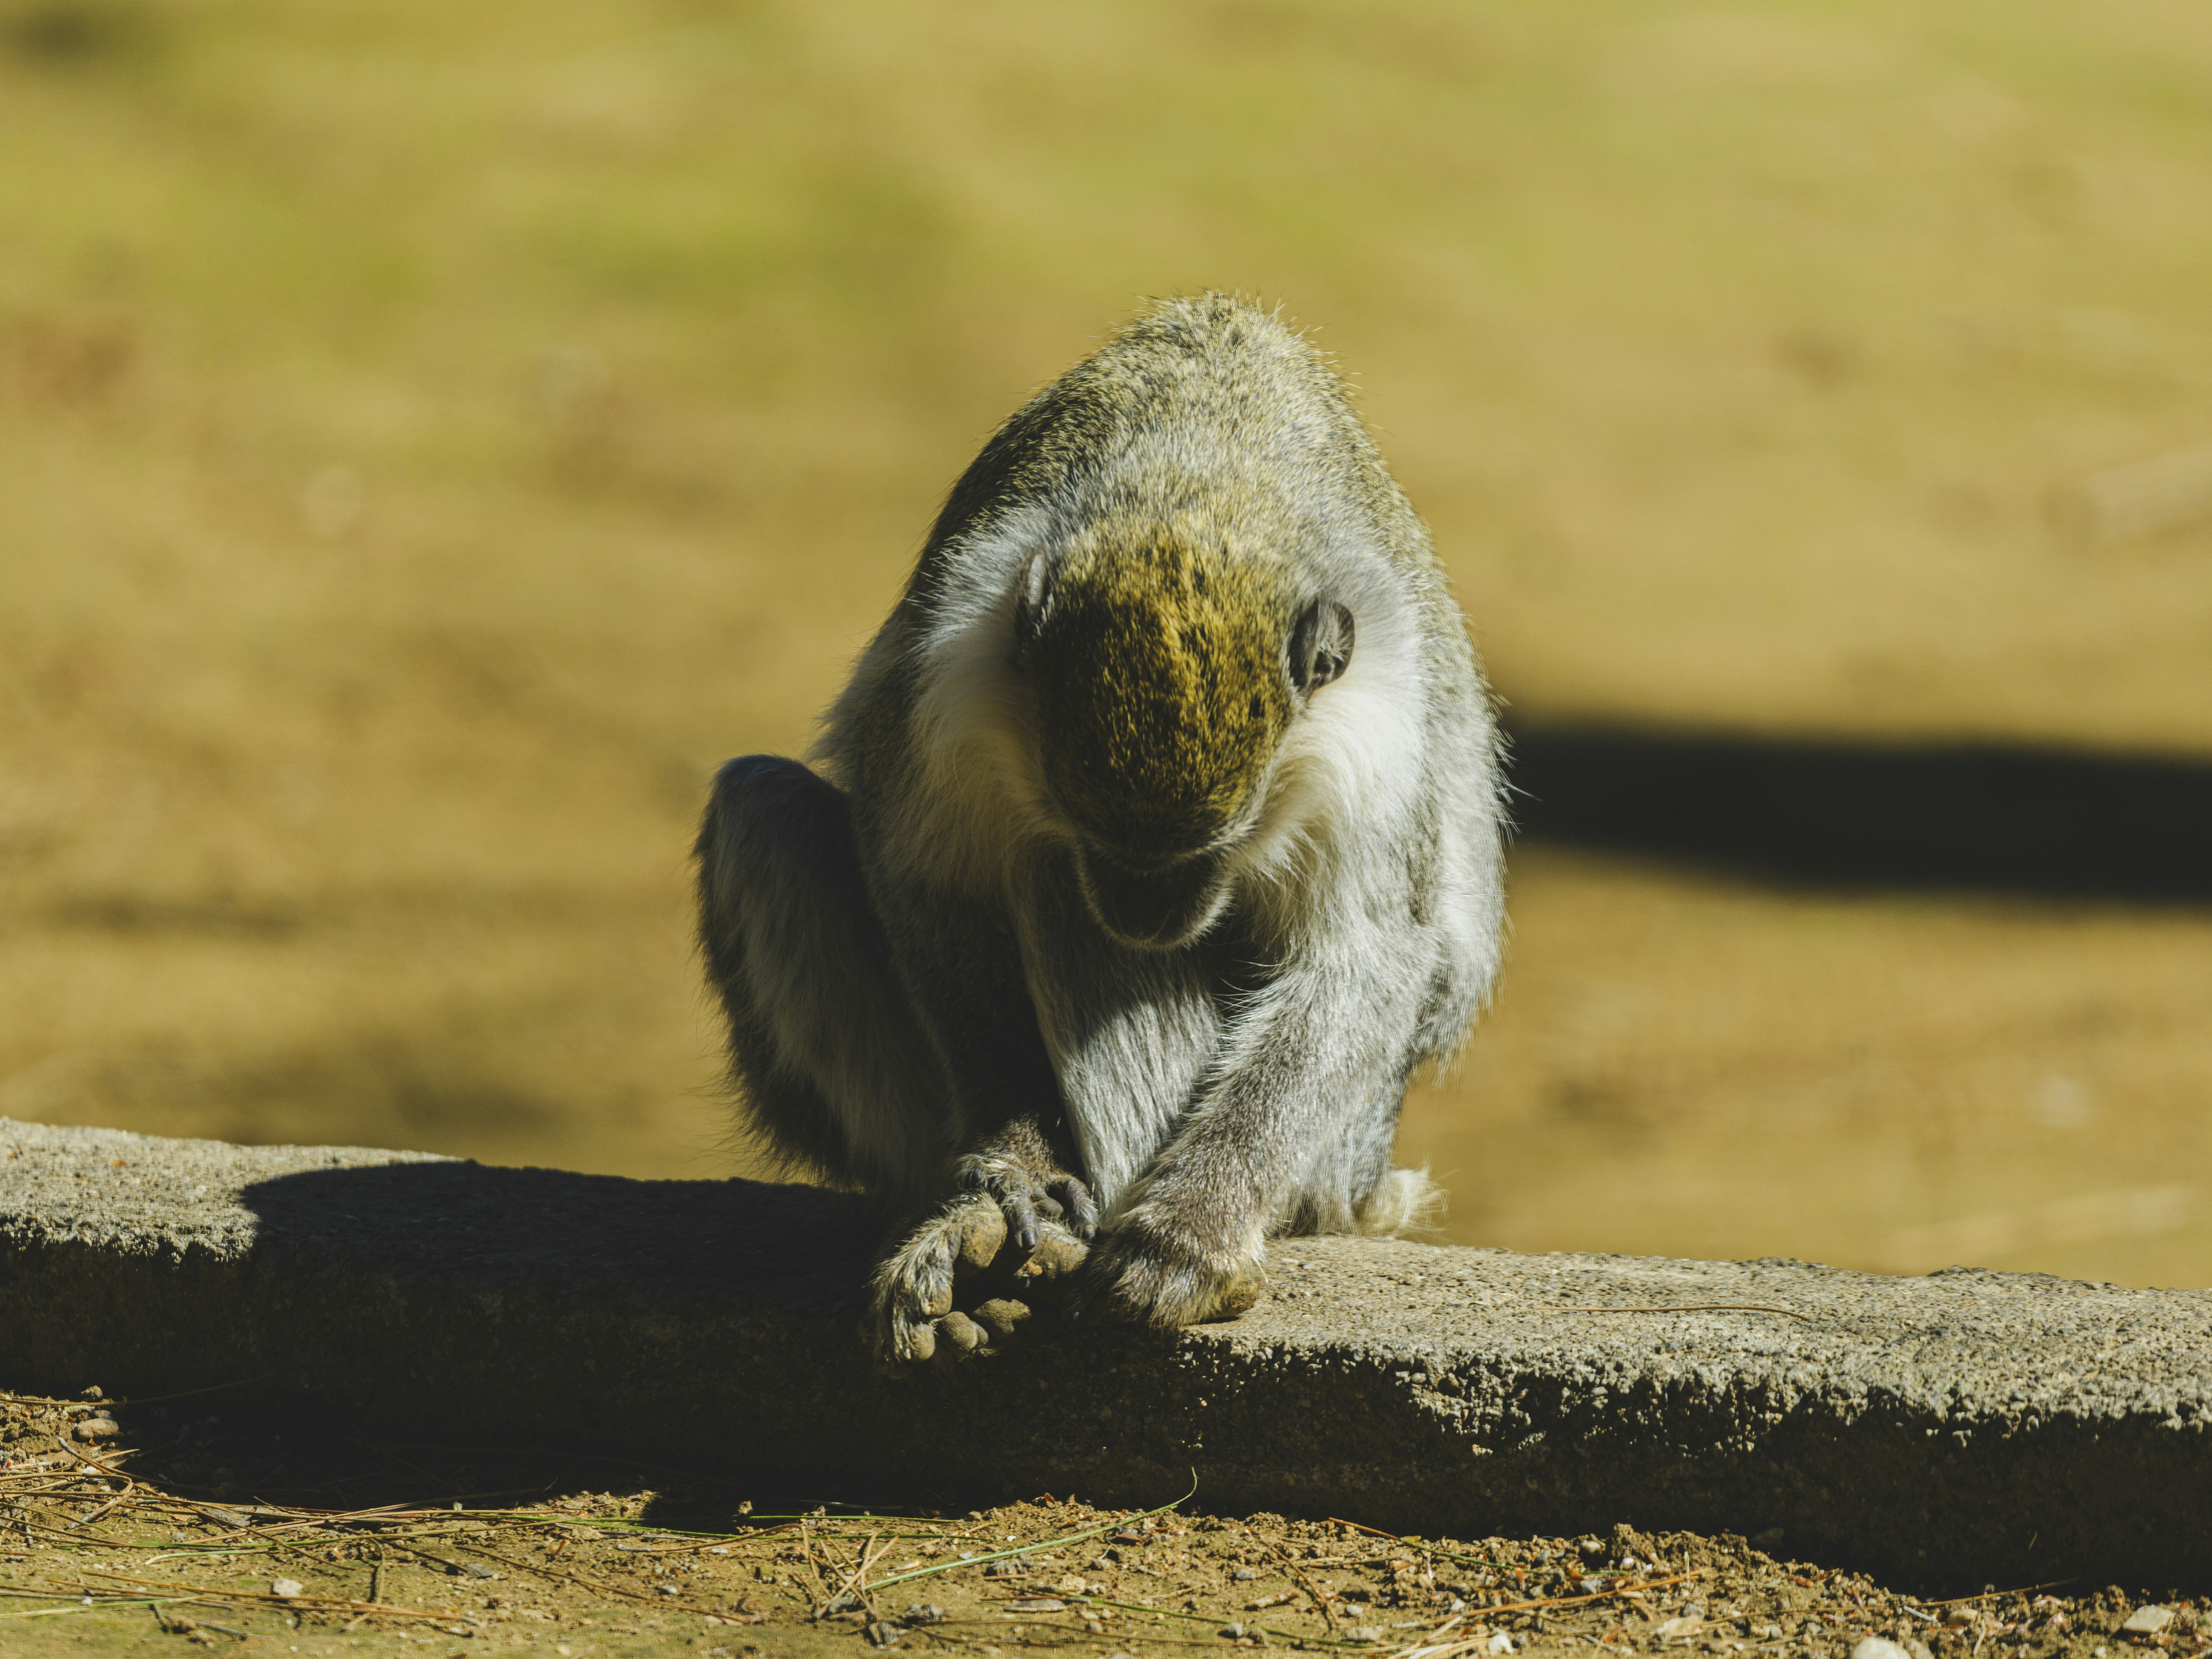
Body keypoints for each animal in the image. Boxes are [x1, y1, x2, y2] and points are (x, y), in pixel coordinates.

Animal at [696, 293, 1505, 1368]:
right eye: (1092, 829)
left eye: (1212, 849)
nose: (1143, 912)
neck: (1196, 488)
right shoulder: (946, 674)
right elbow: (932, 879)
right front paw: (1014, 1172)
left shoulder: (1372, 737)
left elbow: (1369, 953)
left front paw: (1188, 1236)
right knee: (771, 810)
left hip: (1334, 1161)